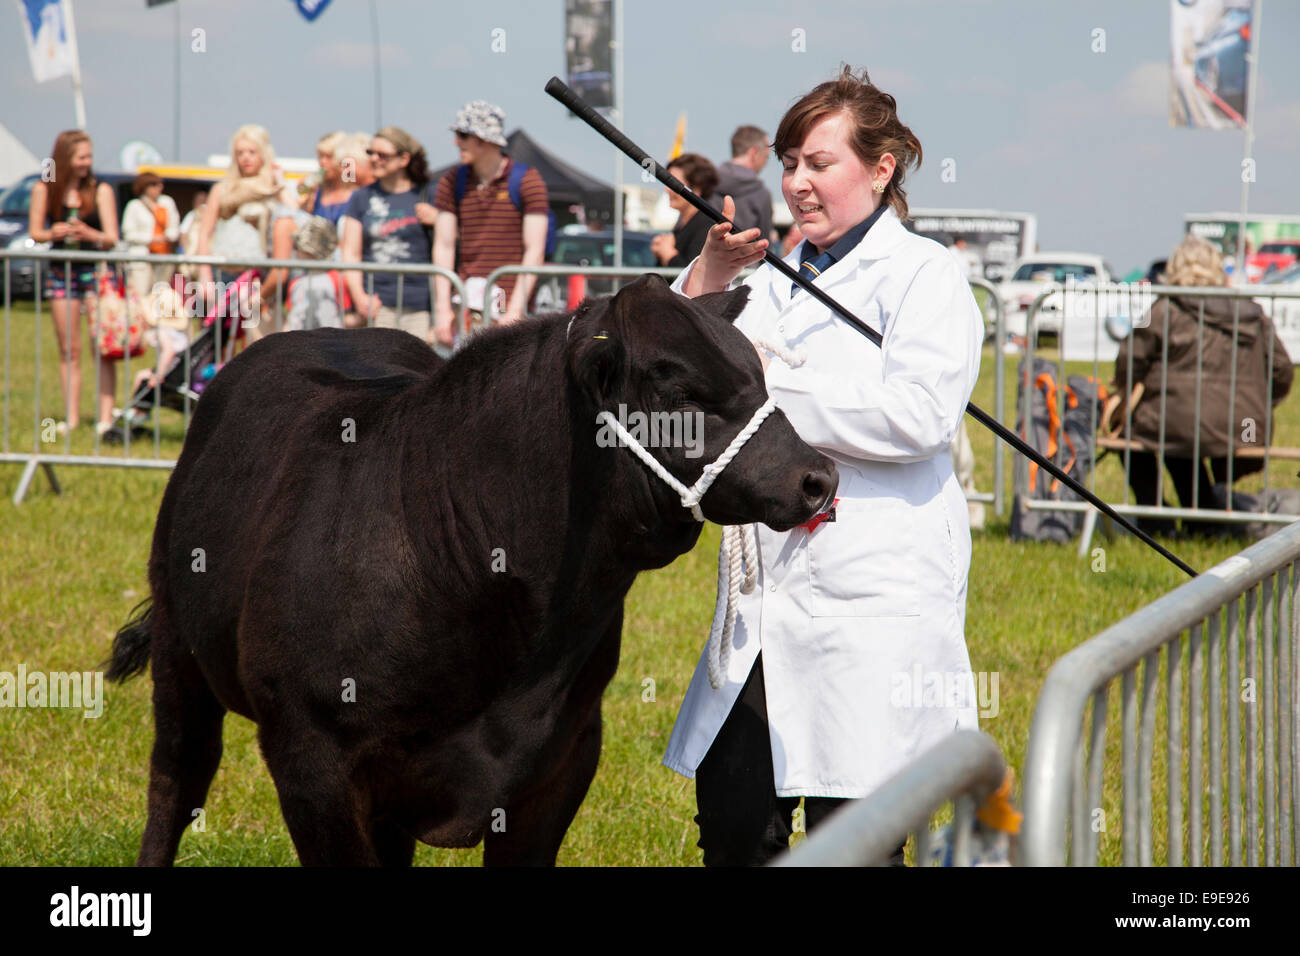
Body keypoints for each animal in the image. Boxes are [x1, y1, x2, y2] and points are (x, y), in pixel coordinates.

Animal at [106, 274, 838, 866]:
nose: (818, 477)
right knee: (176, 780)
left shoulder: (564, 756)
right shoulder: (310, 758)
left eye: (760, 375)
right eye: (681, 388)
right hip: (179, 648)